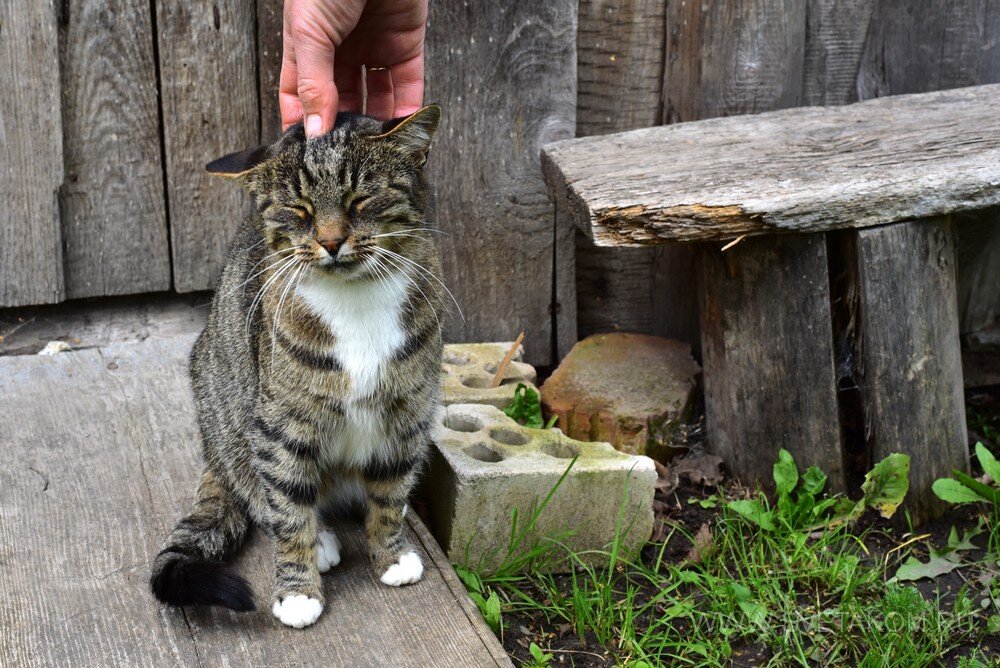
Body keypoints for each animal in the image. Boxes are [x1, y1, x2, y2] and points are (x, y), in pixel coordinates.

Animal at [149, 103, 446, 628]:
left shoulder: (408, 414)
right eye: (300, 209)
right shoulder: (280, 425)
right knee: (263, 495)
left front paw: (392, 556)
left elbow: (390, 495)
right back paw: (320, 542)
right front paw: (297, 591)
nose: (331, 241)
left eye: (360, 200)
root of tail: (211, 451)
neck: (355, 300)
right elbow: (287, 509)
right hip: (231, 423)